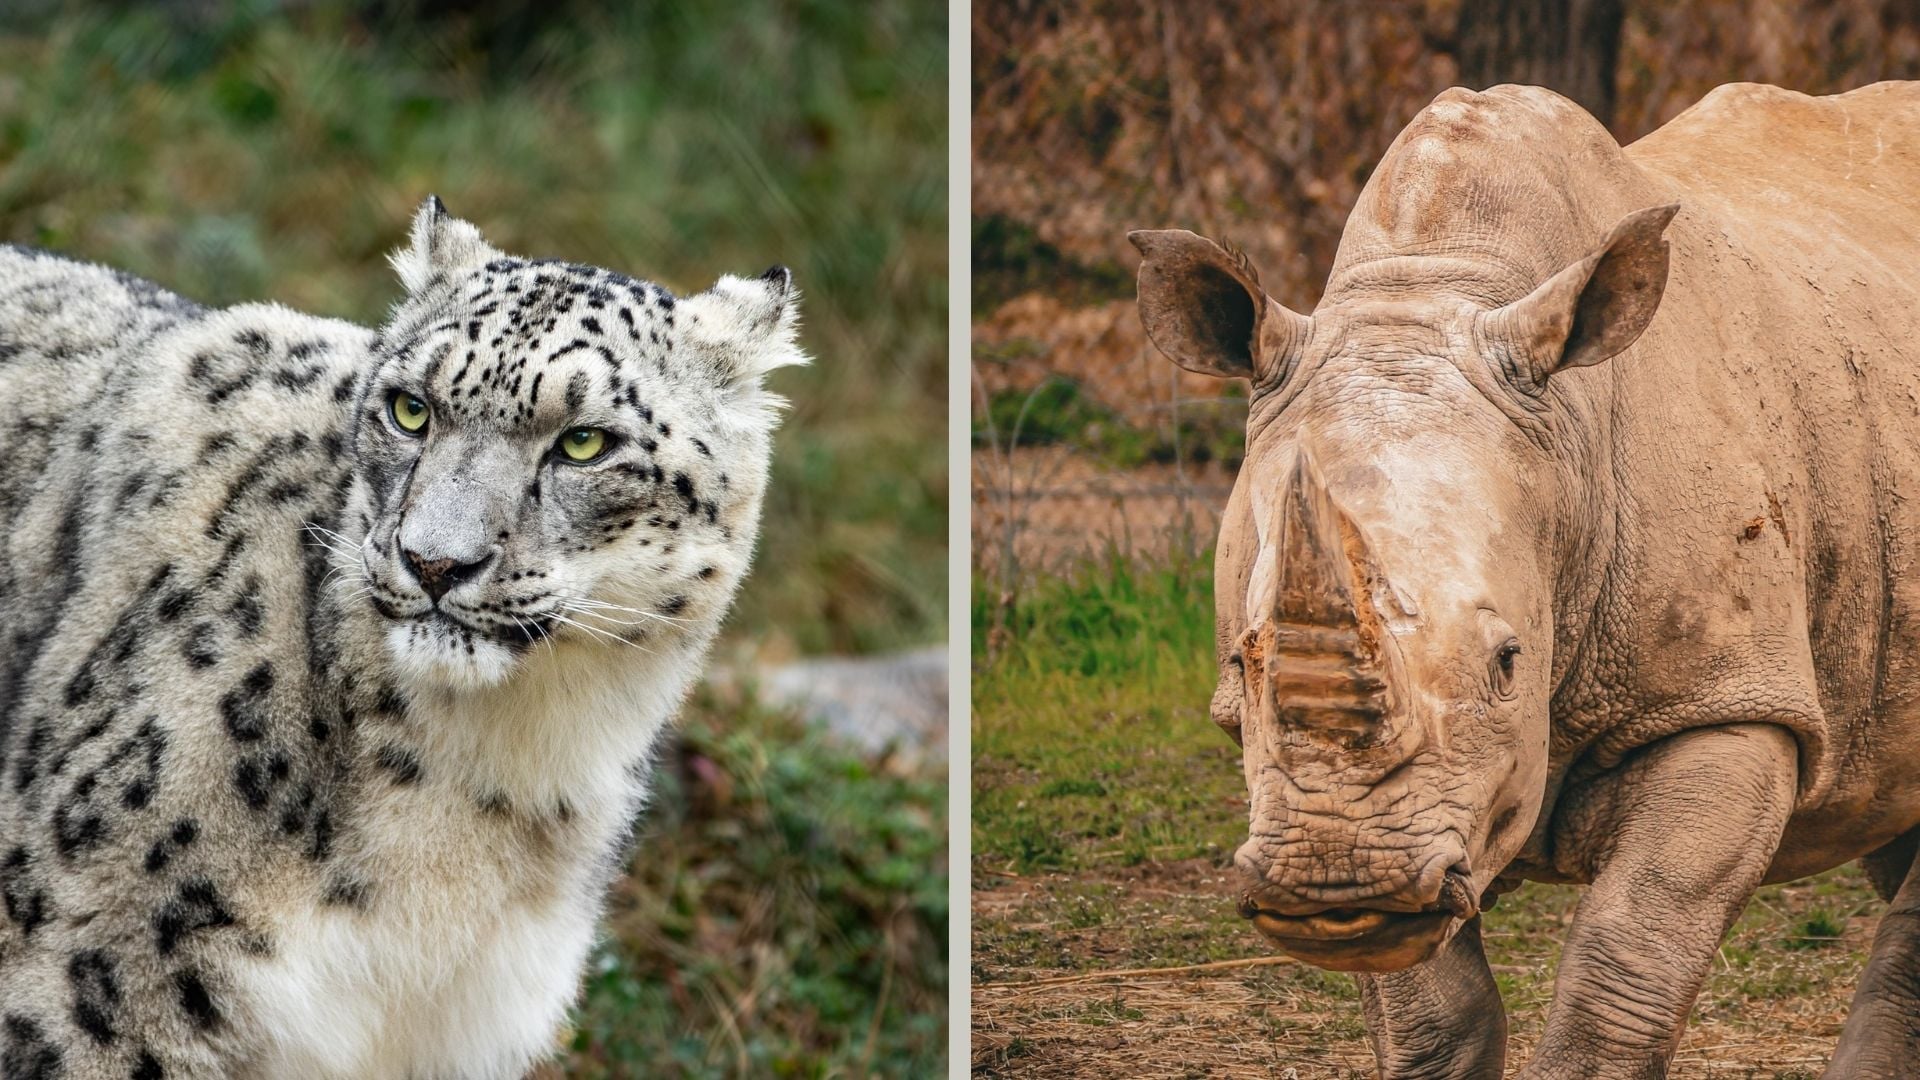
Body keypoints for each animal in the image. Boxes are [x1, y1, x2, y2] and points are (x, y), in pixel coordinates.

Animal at [1129, 81, 1920, 1077]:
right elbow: (1433, 1012)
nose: (1337, 881)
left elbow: (1623, 964)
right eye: (1243, 661)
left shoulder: (1727, 698)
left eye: (1509, 661)